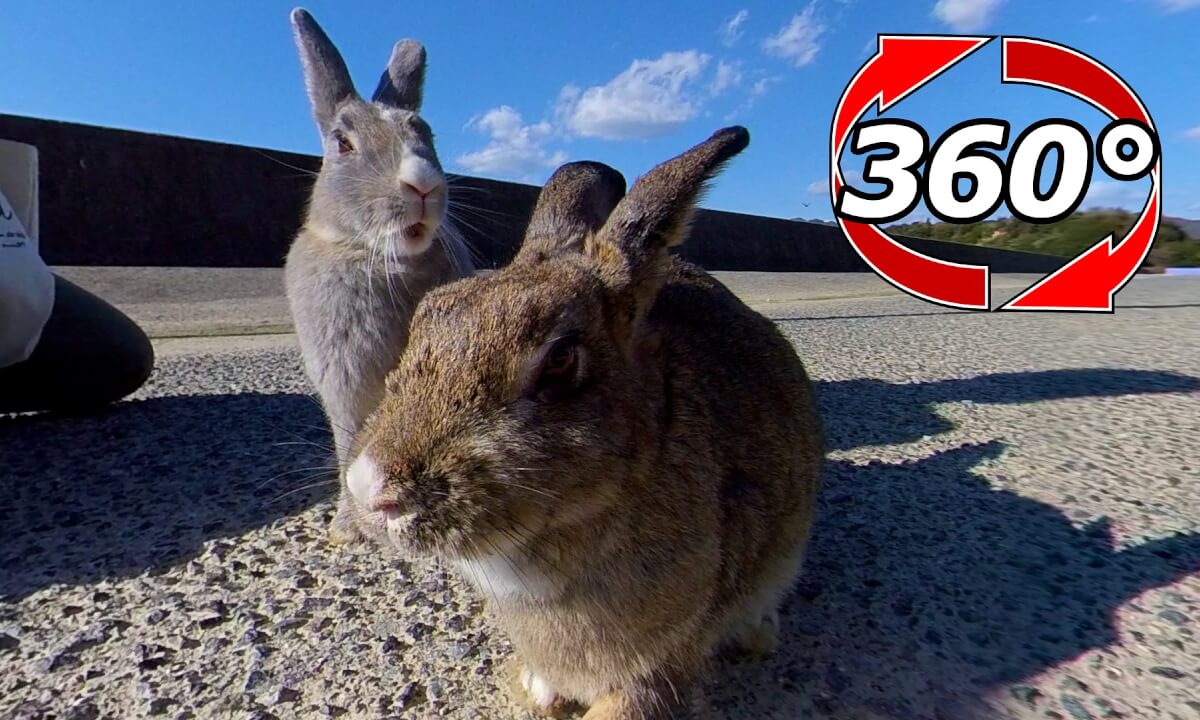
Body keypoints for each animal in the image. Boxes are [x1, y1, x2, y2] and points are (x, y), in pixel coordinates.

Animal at [282, 8, 474, 546]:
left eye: (427, 136)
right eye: (343, 144)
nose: (423, 186)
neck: (380, 258)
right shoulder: (345, 391)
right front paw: (347, 530)